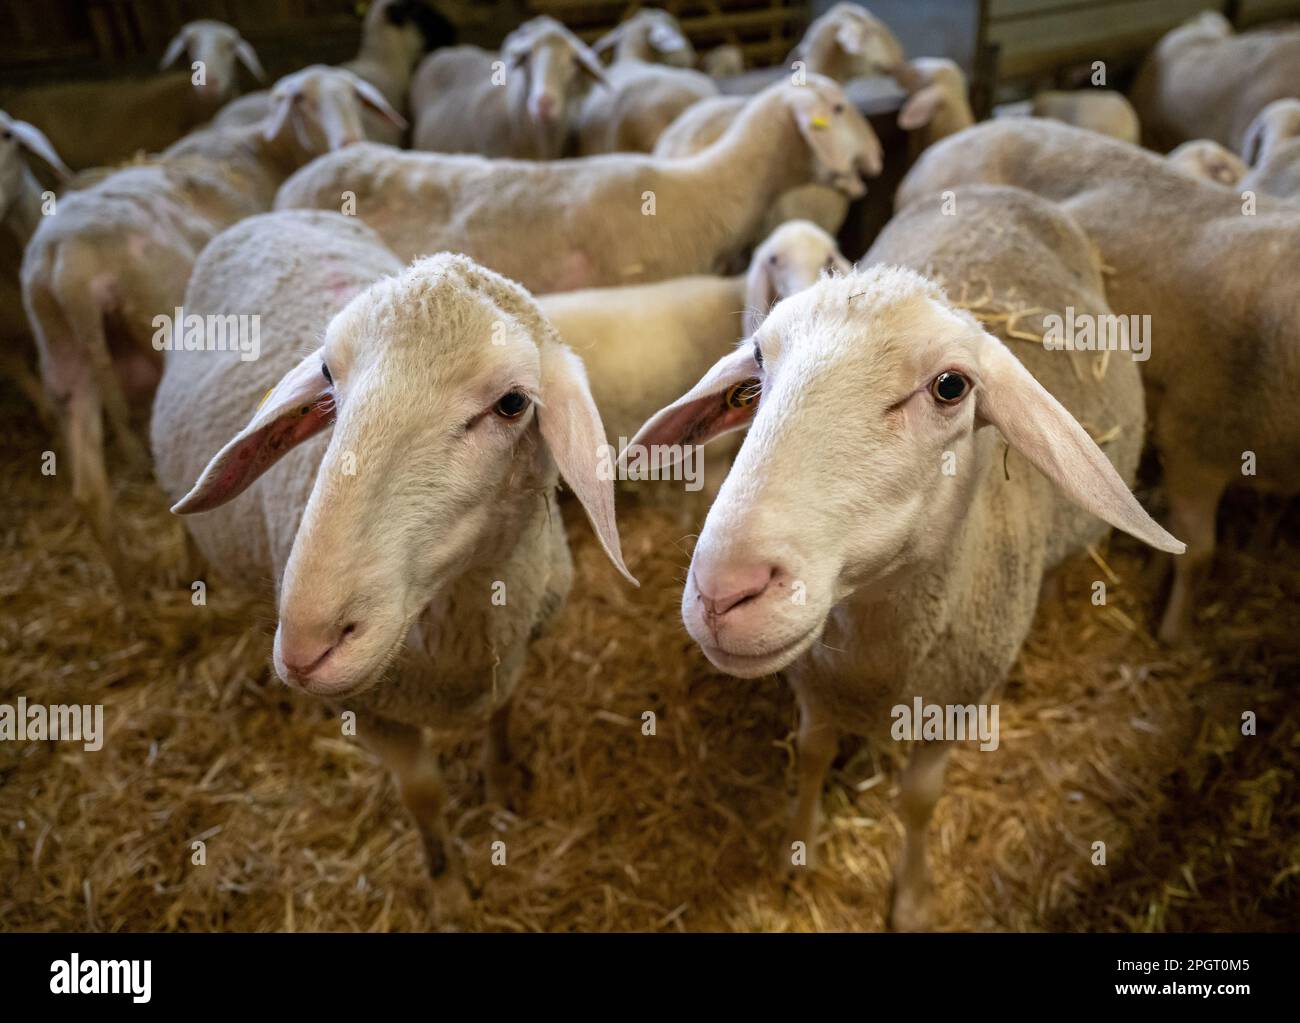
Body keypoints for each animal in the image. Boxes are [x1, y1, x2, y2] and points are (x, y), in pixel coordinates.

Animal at [21, 67, 402, 579]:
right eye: (301, 101)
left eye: (354, 96)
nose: (349, 142)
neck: (265, 152)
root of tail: (69, 268)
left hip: (62, 356)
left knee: (90, 493)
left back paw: (129, 591)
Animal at [152, 210, 634, 904]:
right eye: (329, 375)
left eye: (513, 403)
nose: (307, 645)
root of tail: (271, 215)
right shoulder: (371, 711)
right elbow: (423, 794)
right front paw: (449, 887)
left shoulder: (514, 657)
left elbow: (501, 722)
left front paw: (501, 783)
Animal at [623, 185, 1181, 929]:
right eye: (758, 368)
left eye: (951, 386)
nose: (724, 590)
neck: (876, 651)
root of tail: (1002, 193)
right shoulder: (815, 686)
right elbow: (811, 755)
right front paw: (797, 853)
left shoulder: (955, 699)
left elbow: (919, 799)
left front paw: (913, 898)